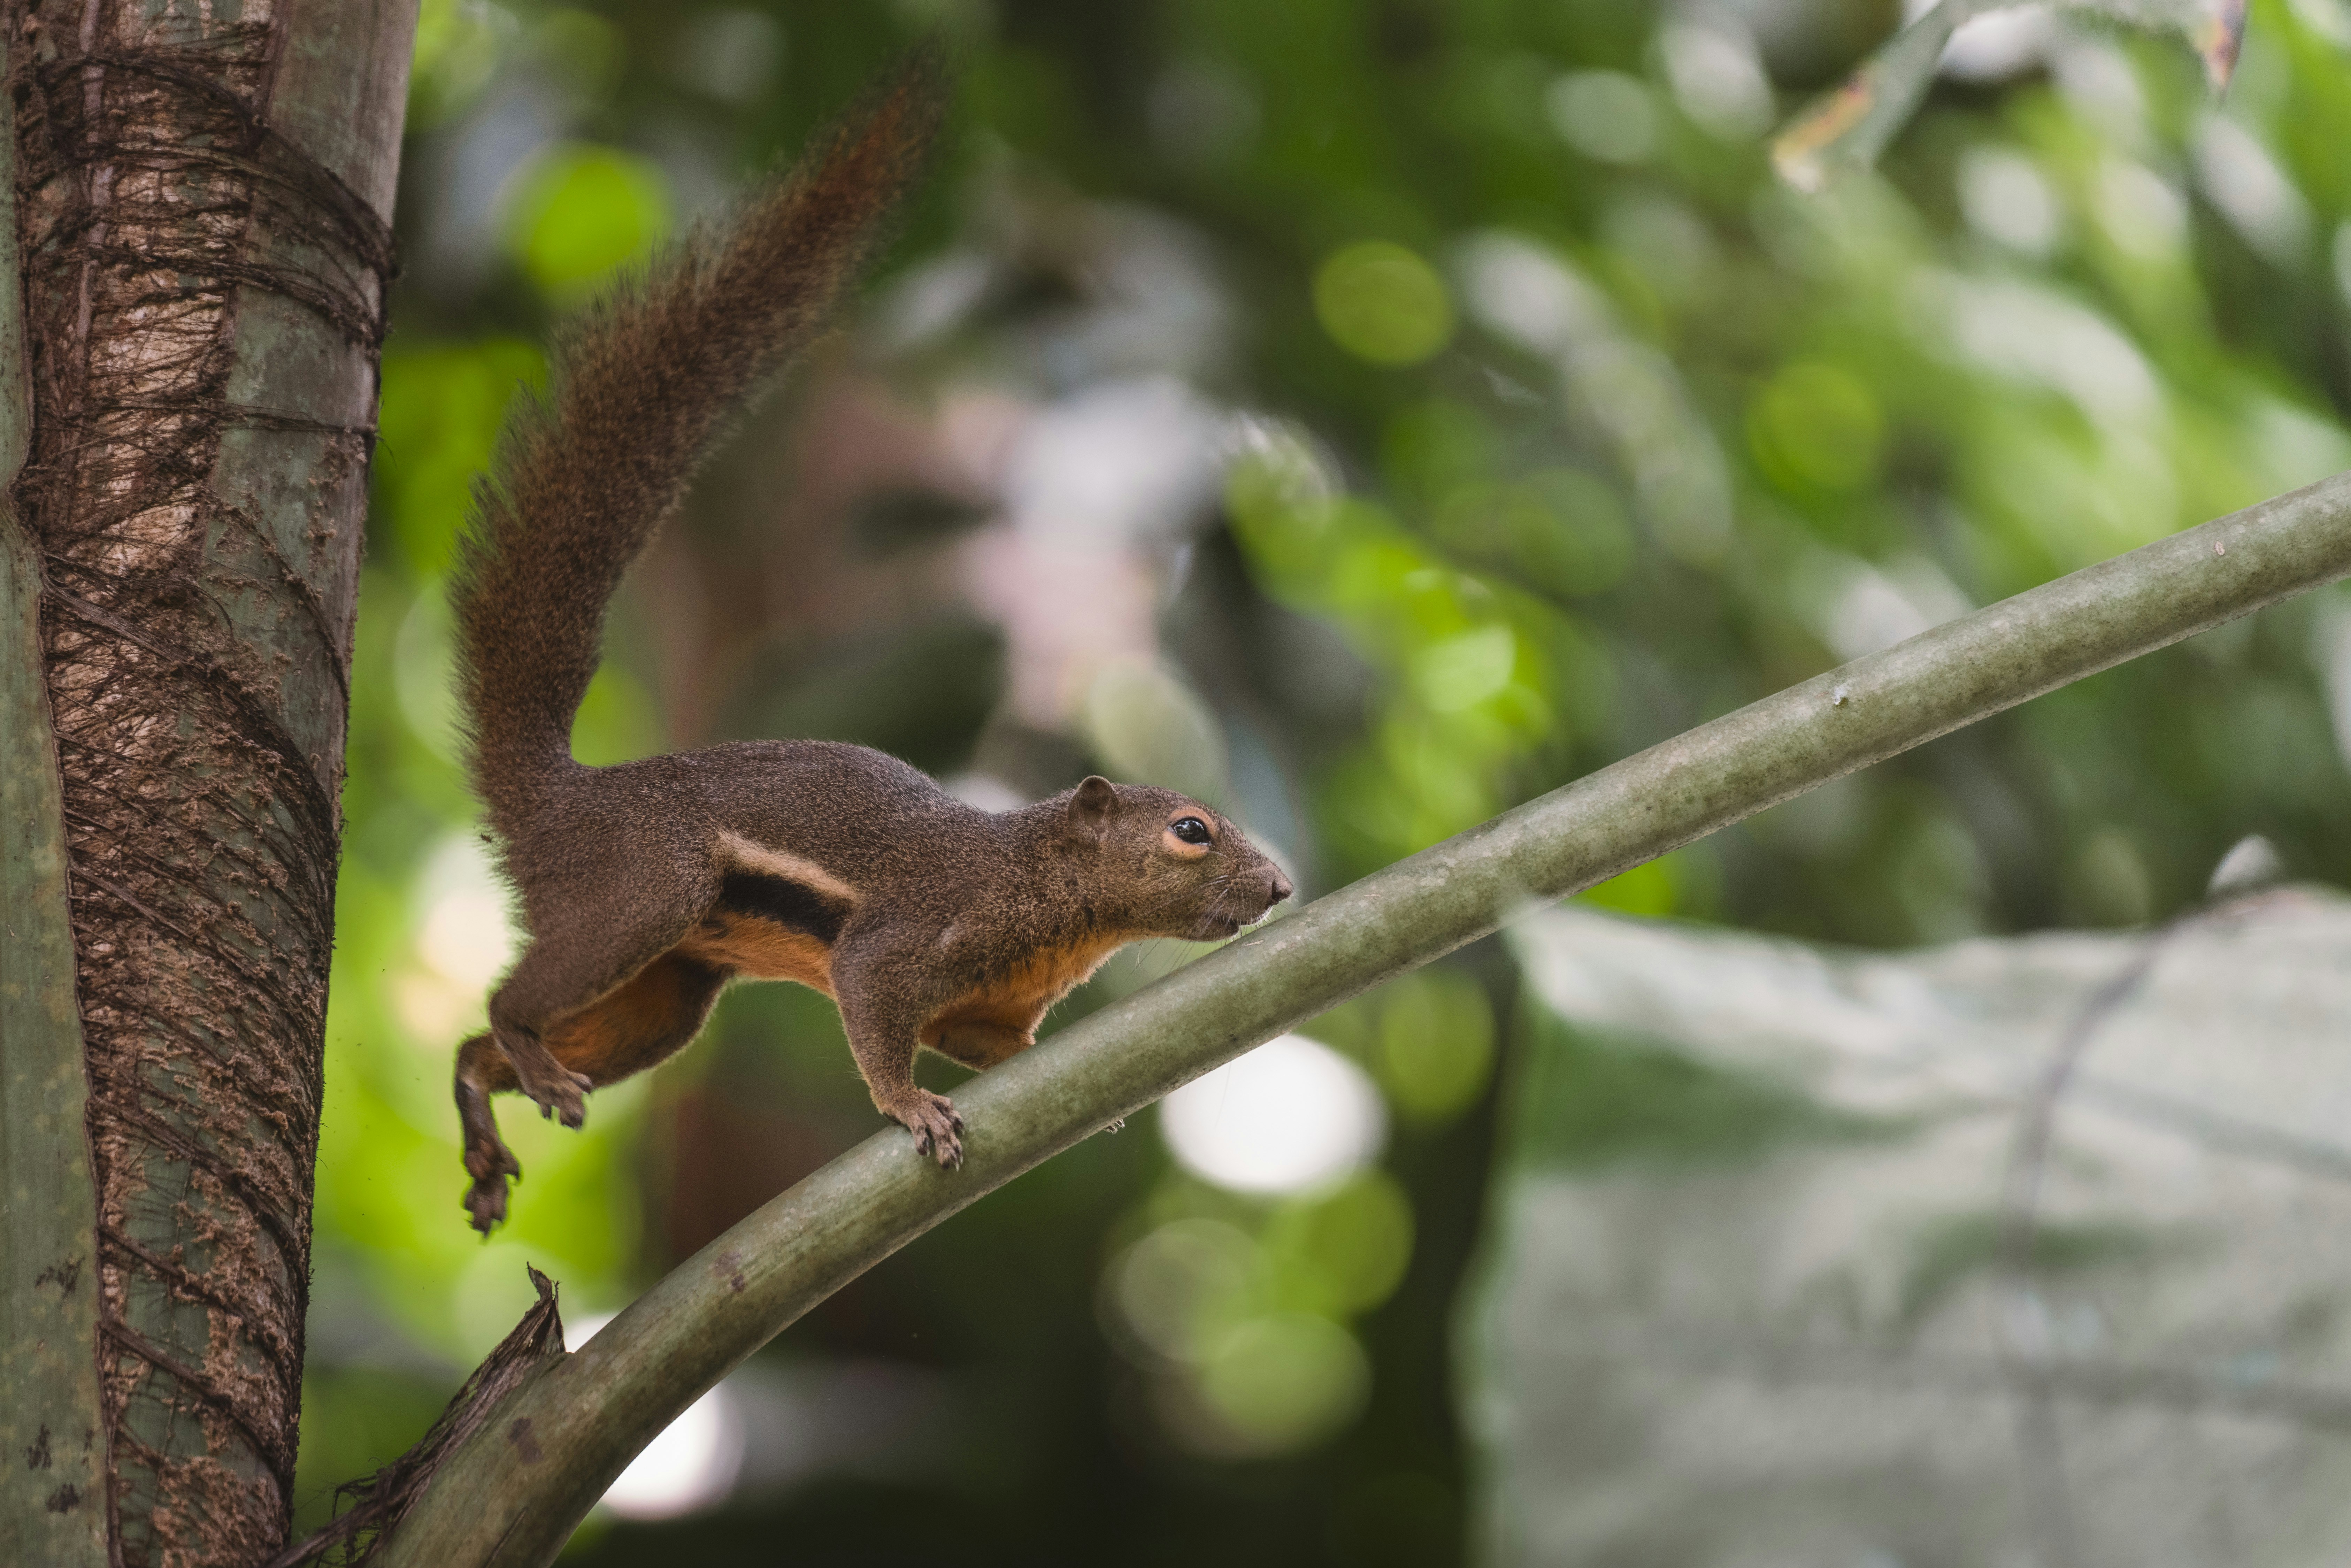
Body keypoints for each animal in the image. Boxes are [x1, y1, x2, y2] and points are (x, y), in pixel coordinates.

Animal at [444, 50, 1292, 1234]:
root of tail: (556, 795)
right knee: (508, 998)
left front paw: (1094, 1092)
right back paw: (522, 1050)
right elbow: (876, 1010)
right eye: (1190, 831)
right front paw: (910, 1109)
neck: (1053, 896)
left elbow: (992, 1045)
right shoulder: (907, 941)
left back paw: (485, 1108)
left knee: (477, 1043)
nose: (1282, 890)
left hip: (665, 998)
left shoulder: (988, 1011)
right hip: (636, 891)